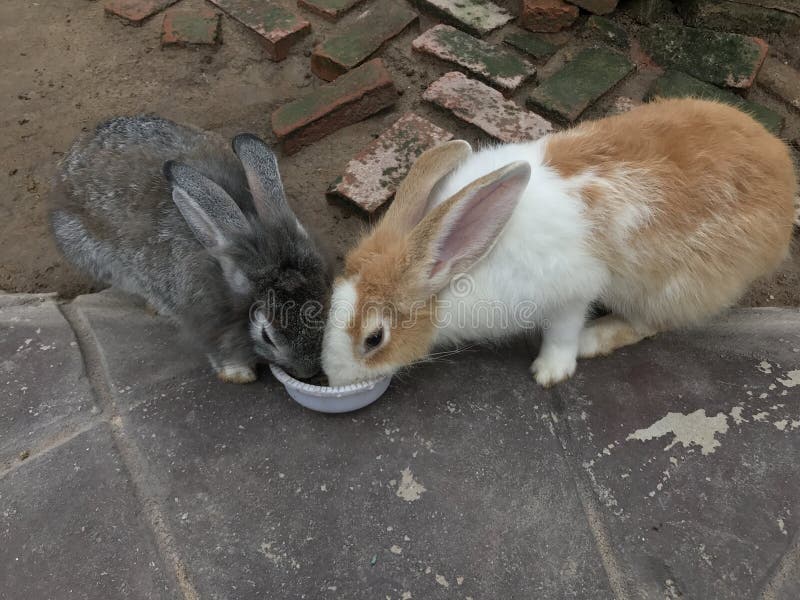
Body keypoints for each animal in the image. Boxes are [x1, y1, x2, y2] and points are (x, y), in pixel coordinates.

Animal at [322, 98, 797, 387]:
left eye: (374, 339)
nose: (331, 376)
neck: (461, 267)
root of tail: (784, 185)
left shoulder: (572, 290)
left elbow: (562, 331)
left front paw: (549, 372)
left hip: (670, 289)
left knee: (652, 322)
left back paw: (594, 339)